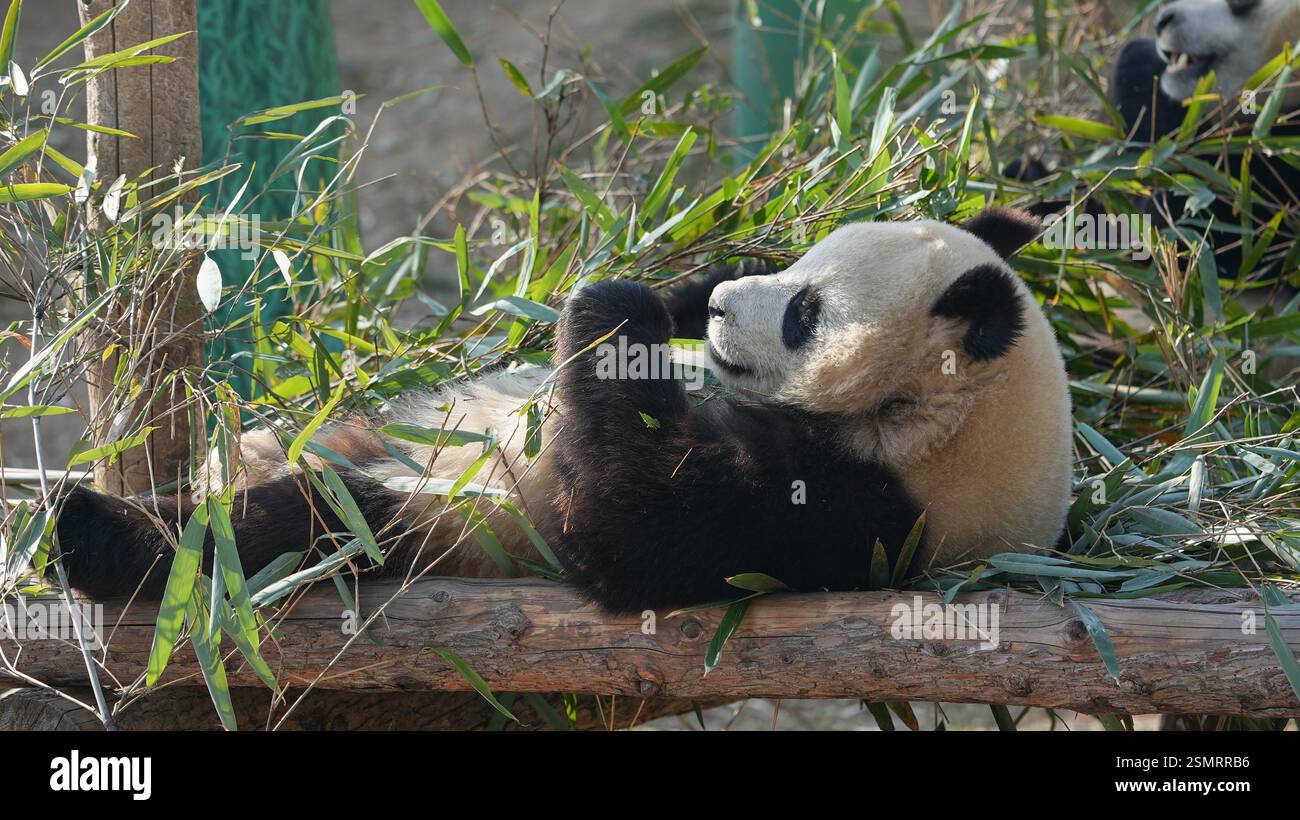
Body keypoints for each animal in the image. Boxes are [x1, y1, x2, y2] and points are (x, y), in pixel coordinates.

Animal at [54, 207, 1074, 612]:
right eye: (798, 270)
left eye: (805, 312)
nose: (718, 309)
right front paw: (670, 293)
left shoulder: (863, 516)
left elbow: (639, 534)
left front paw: (611, 305)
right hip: (369, 437)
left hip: (429, 522)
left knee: (278, 533)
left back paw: (87, 530)